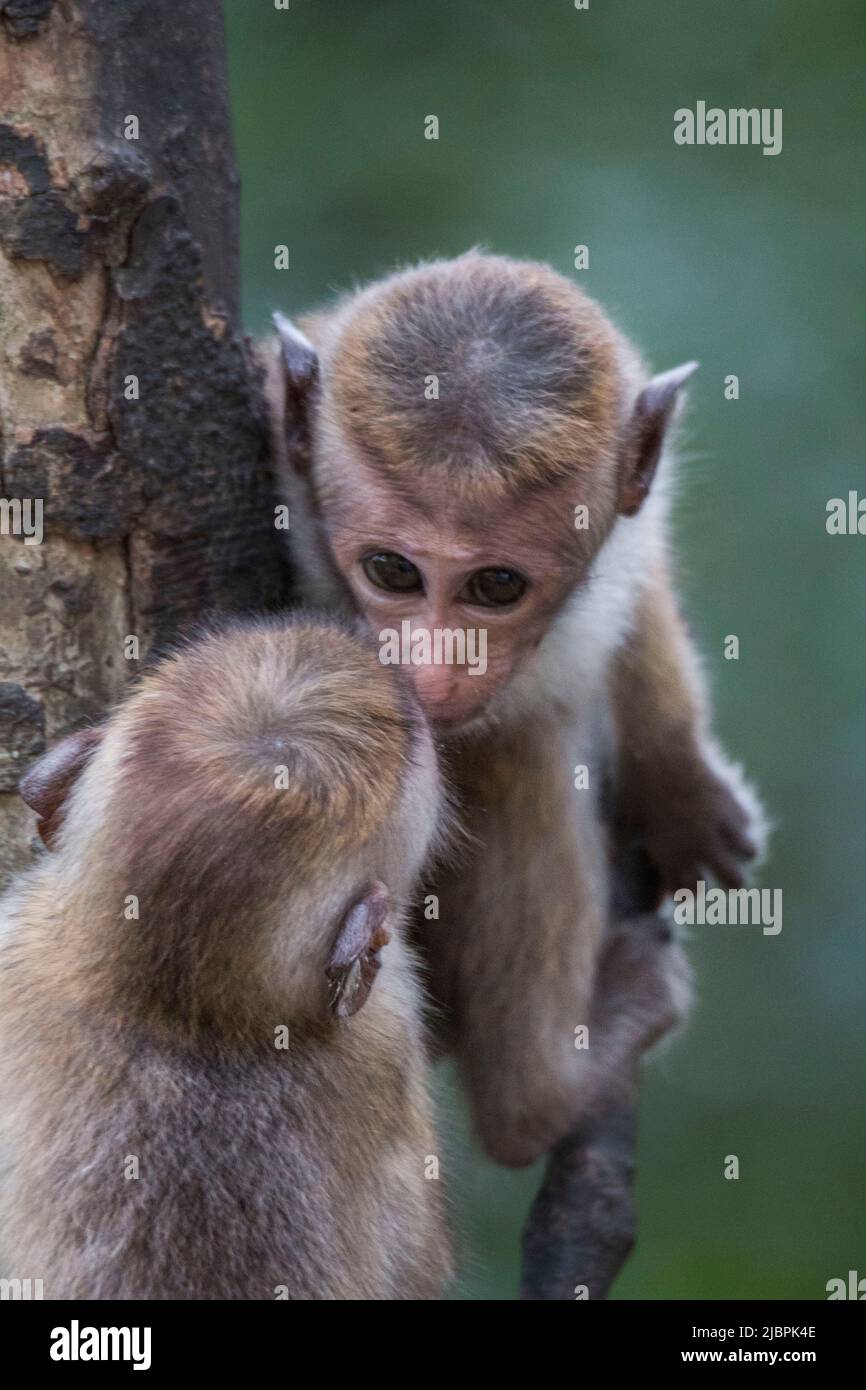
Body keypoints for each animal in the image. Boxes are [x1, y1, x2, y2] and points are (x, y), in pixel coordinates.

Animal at [265, 251, 766, 1167]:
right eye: (392, 570)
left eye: (496, 585)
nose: (434, 674)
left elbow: (634, 589)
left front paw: (678, 781)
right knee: (519, 754)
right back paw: (541, 1101)